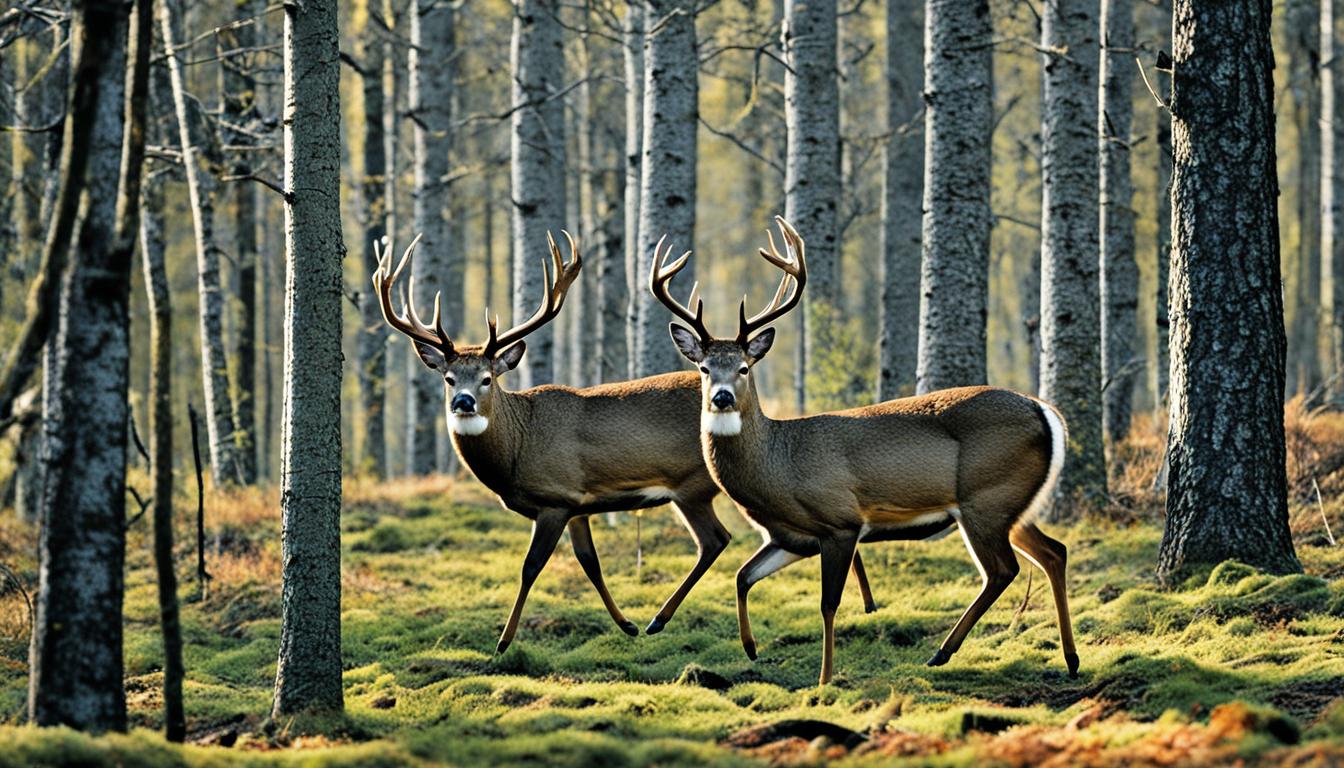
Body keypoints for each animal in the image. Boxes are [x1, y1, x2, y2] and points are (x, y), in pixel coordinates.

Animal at [371, 230, 884, 653]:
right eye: (448, 377)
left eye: (486, 379)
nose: (461, 403)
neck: (517, 447)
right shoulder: (577, 504)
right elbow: (590, 563)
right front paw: (624, 625)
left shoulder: (556, 496)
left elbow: (531, 567)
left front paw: (503, 641)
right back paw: (866, 604)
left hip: (694, 485)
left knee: (717, 539)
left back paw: (661, 619)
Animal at [650, 216, 1079, 685]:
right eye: (704, 368)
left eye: (744, 368)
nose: (722, 397)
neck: (778, 468)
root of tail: (1045, 411)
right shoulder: (790, 537)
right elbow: (743, 577)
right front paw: (749, 648)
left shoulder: (840, 522)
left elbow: (828, 604)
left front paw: (824, 678)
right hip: (1012, 505)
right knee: (1053, 552)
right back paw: (1070, 659)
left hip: (986, 498)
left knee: (1003, 570)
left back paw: (941, 653)